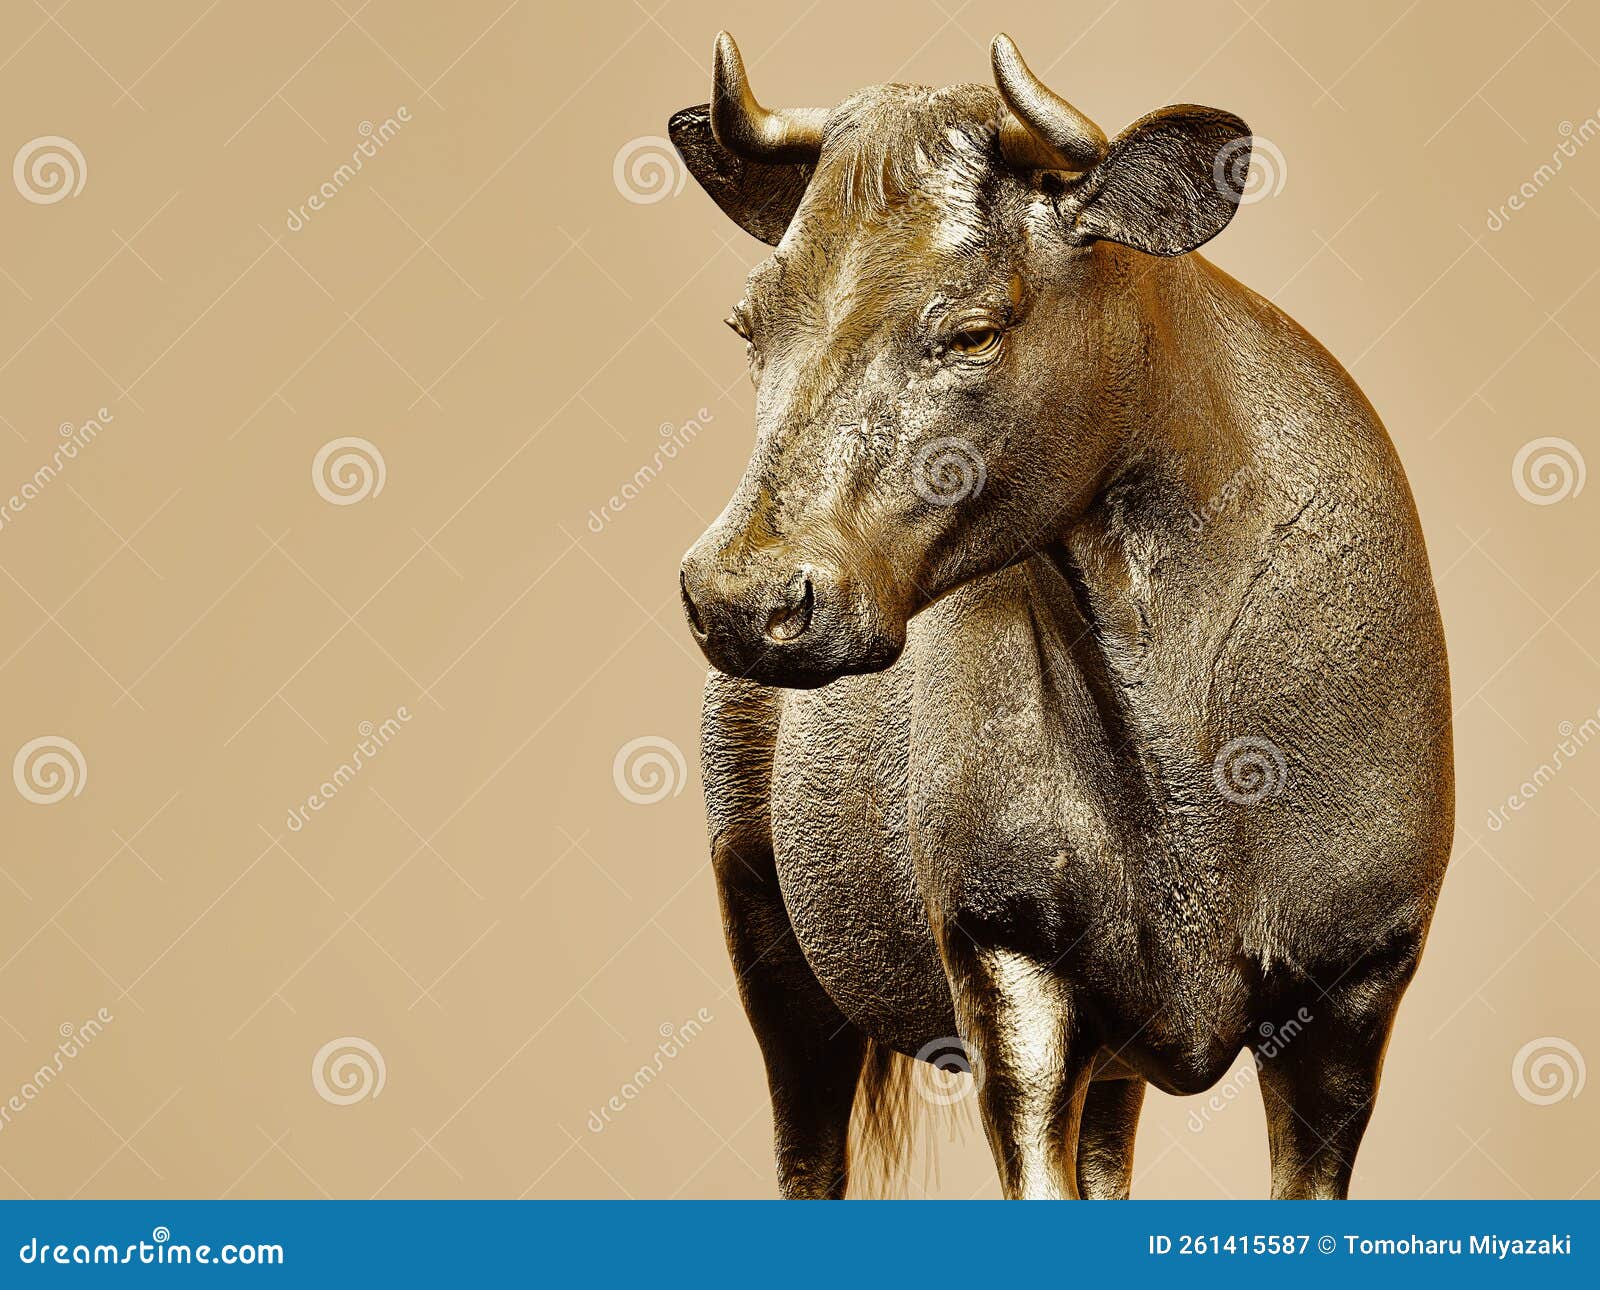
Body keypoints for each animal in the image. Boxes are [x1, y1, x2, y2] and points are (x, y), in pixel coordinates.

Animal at [668, 32, 1453, 1199]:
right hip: (771, 950)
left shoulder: (1352, 997)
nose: (742, 595)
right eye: (749, 322)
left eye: (973, 328)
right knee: (806, 1159)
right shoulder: (1009, 971)